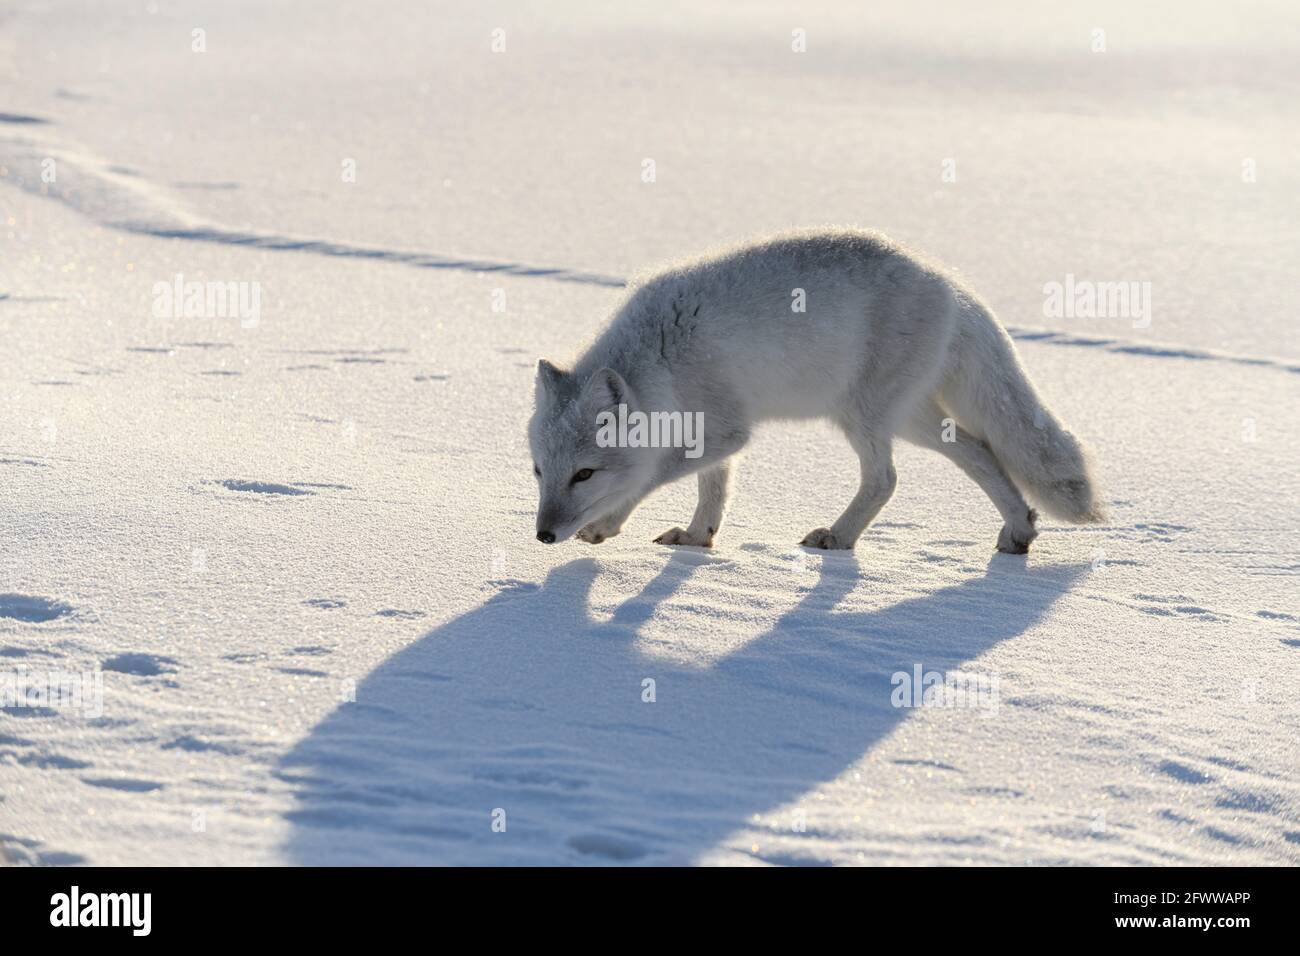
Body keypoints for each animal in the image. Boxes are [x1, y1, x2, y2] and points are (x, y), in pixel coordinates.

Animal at [528, 228, 1104, 553]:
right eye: (538, 471)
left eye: (584, 474)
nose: (543, 535)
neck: (661, 355)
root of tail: (948, 281)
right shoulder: (716, 432)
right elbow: (714, 491)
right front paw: (697, 538)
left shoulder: (727, 432)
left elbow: (651, 477)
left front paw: (606, 524)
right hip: (911, 421)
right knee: (982, 450)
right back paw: (1019, 532)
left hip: (864, 418)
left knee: (885, 480)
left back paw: (840, 537)